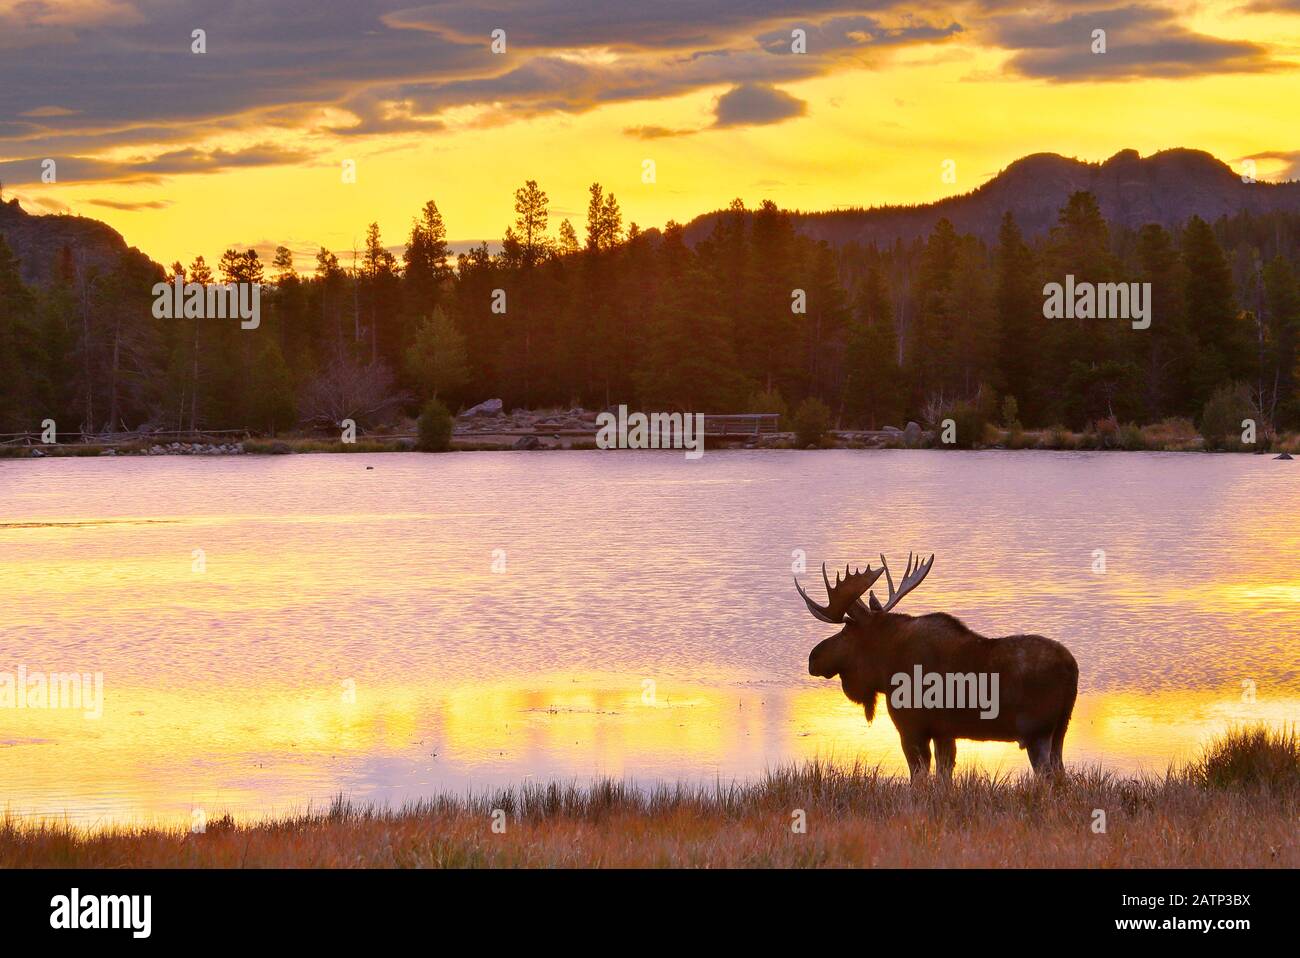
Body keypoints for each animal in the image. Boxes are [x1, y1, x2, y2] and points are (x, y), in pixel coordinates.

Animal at [796, 554, 1078, 779]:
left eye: (846, 631)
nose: (813, 657)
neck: (884, 667)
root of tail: (1072, 666)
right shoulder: (944, 732)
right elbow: (945, 776)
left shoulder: (912, 727)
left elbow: (918, 777)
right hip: (1060, 730)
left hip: (1037, 731)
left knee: (1047, 777)